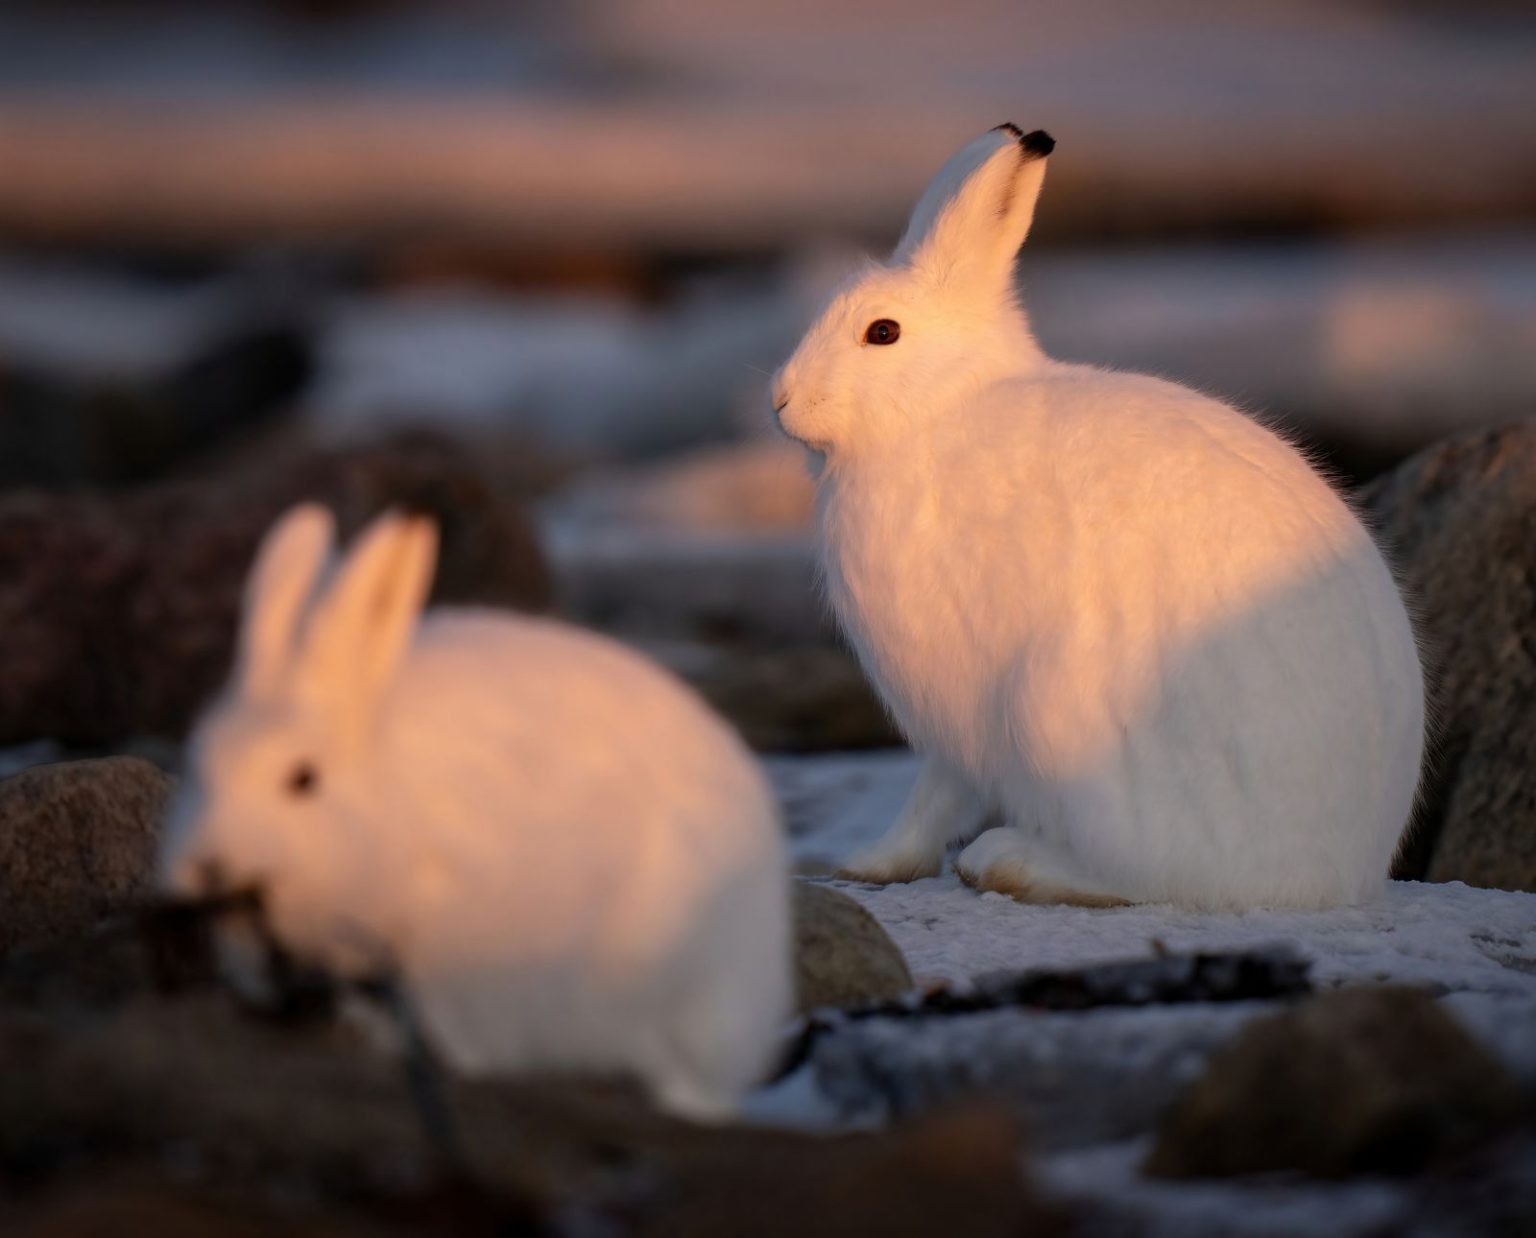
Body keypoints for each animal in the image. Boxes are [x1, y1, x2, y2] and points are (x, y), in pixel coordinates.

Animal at [772, 125, 1425, 910]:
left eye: (883, 333)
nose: (781, 402)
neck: (939, 407)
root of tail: (1331, 881)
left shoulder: (958, 703)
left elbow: (936, 793)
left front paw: (870, 864)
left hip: (1055, 711)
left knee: (1143, 875)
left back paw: (1008, 861)